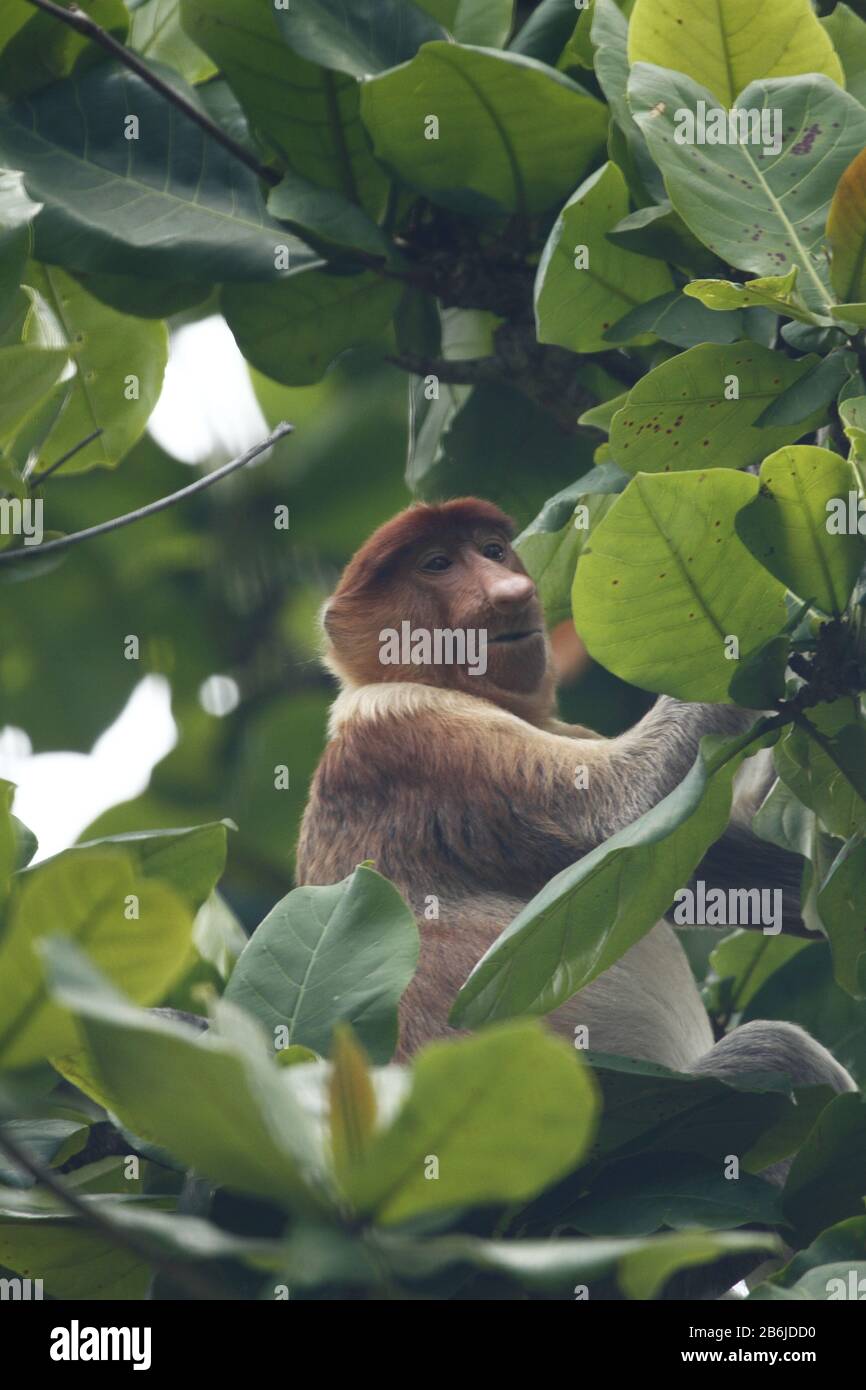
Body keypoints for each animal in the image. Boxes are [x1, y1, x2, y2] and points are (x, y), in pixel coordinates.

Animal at [297, 497, 855, 1101]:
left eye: (493, 550)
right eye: (437, 563)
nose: (514, 591)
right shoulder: (409, 729)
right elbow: (618, 811)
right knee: (775, 1048)